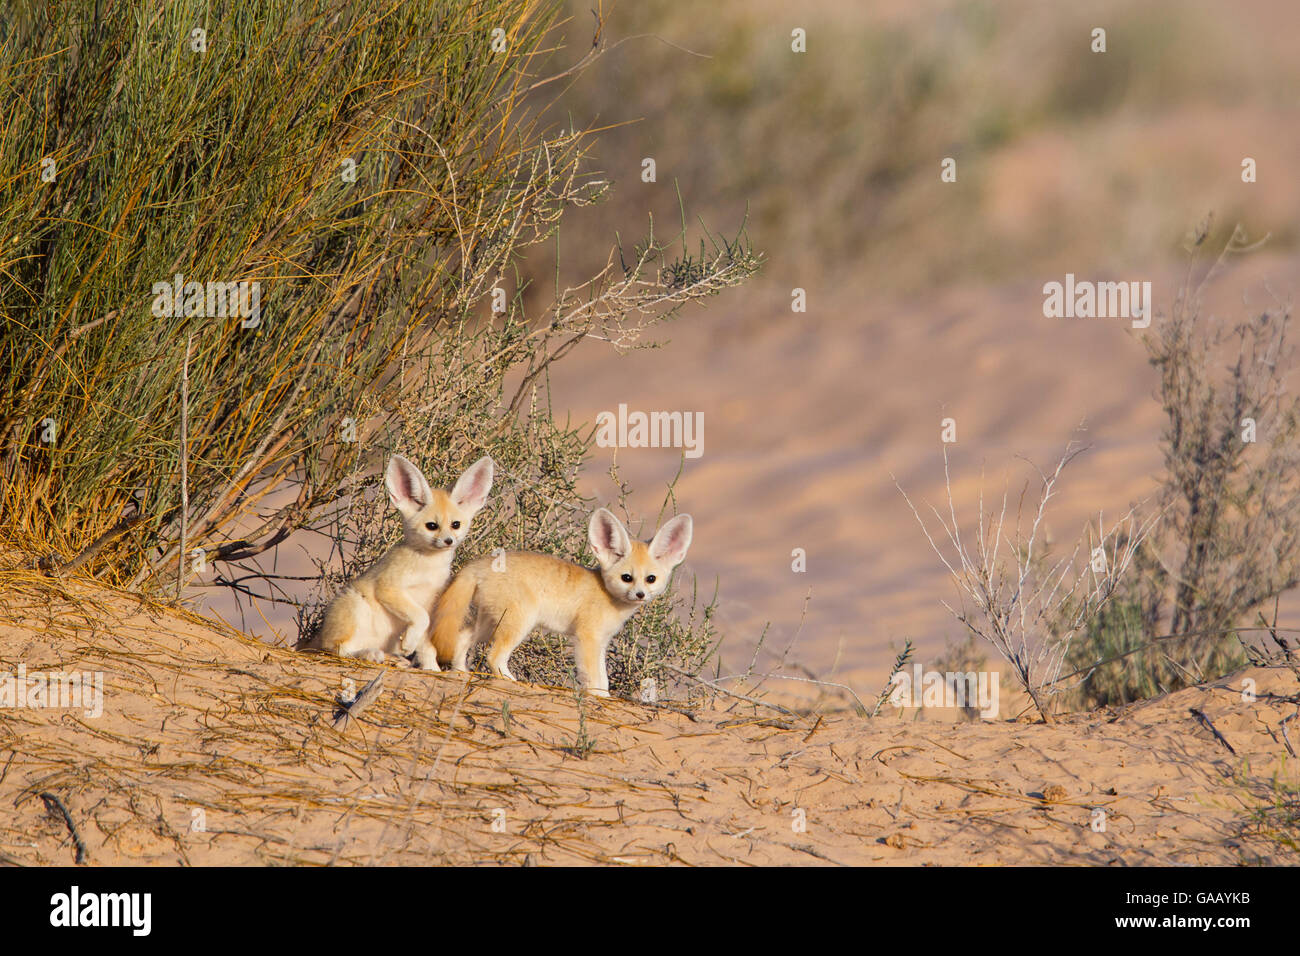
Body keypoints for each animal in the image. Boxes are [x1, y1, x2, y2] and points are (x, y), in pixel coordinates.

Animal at [305, 454, 494, 664]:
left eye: (455, 524)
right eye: (431, 526)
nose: (448, 541)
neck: (429, 566)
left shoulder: (430, 603)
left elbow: (427, 645)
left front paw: (429, 665)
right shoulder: (388, 588)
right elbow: (420, 617)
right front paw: (409, 643)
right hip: (355, 607)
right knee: (338, 649)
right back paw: (370, 653)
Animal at [415, 507, 692, 696]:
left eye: (650, 579)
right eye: (627, 578)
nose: (640, 595)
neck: (605, 593)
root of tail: (480, 564)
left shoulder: (601, 642)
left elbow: (603, 678)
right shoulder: (587, 638)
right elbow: (595, 679)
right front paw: (599, 699)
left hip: (490, 622)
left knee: (462, 638)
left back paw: (460, 672)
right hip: (518, 624)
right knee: (494, 657)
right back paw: (512, 682)